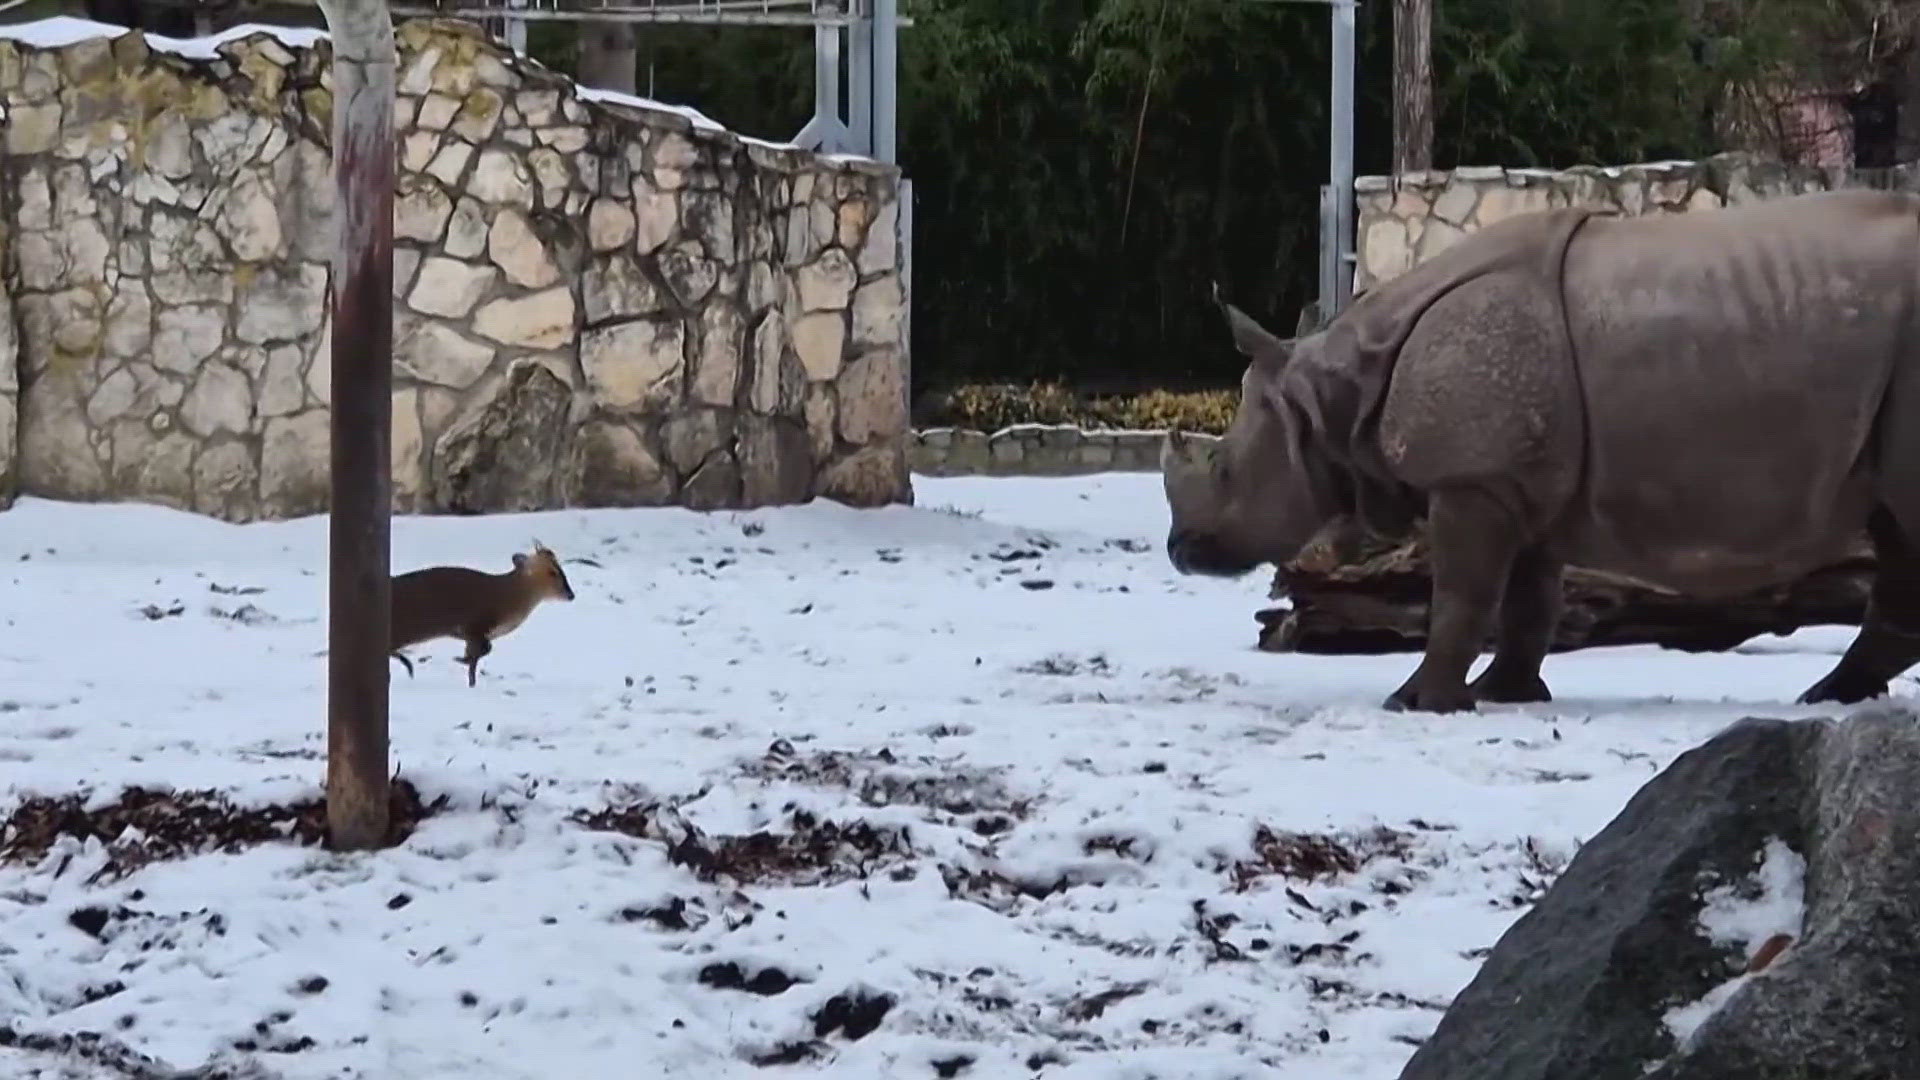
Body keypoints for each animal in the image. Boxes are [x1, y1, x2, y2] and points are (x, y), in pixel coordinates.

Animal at [388, 539, 577, 687]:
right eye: (553, 572)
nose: (571, 595)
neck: (509, 598)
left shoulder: (473, 633)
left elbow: (477, 657)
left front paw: (470, 678)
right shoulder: (472, 624)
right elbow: (484, 649)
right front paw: (461, 660)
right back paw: (408, 666)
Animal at [1162, 188, 1920, 713]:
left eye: (1222, 470)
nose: (1179, 549)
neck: (1332, 392)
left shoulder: (1470, 480)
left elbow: (1461, 596)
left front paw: (1416, 704)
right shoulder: (1520, 480)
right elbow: (1529, 603)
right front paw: (1505, 695)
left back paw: (1829, 698)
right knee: (1896, 534)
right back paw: (1830, 697)